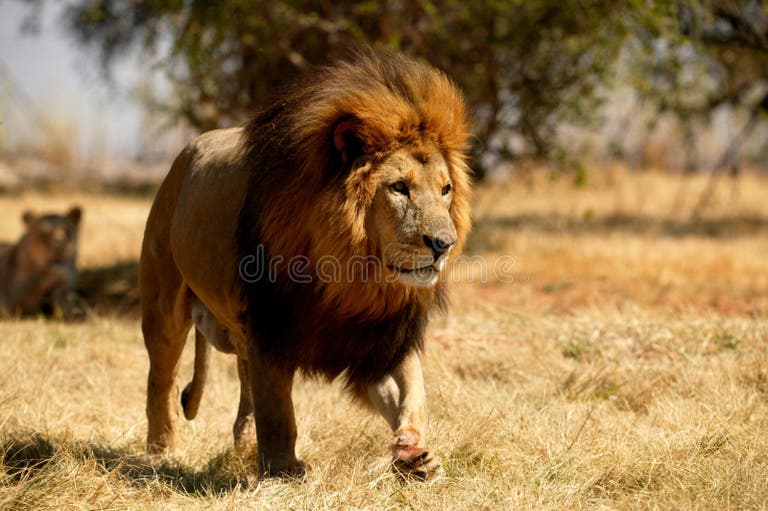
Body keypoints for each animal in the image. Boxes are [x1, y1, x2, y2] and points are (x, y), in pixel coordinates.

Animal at [140, 49, 471, 479]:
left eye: (445, 190)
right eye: (400, 187)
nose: (443, 244)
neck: (353, 276)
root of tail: (187, 150)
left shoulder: (382, 340)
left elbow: (412, 396)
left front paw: (415, 453)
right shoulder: (270, 327)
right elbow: (278, 411)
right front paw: (283, 470)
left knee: (242, 382)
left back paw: (243, 445)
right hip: (163, 304)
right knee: (160, 379)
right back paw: (161, 451)